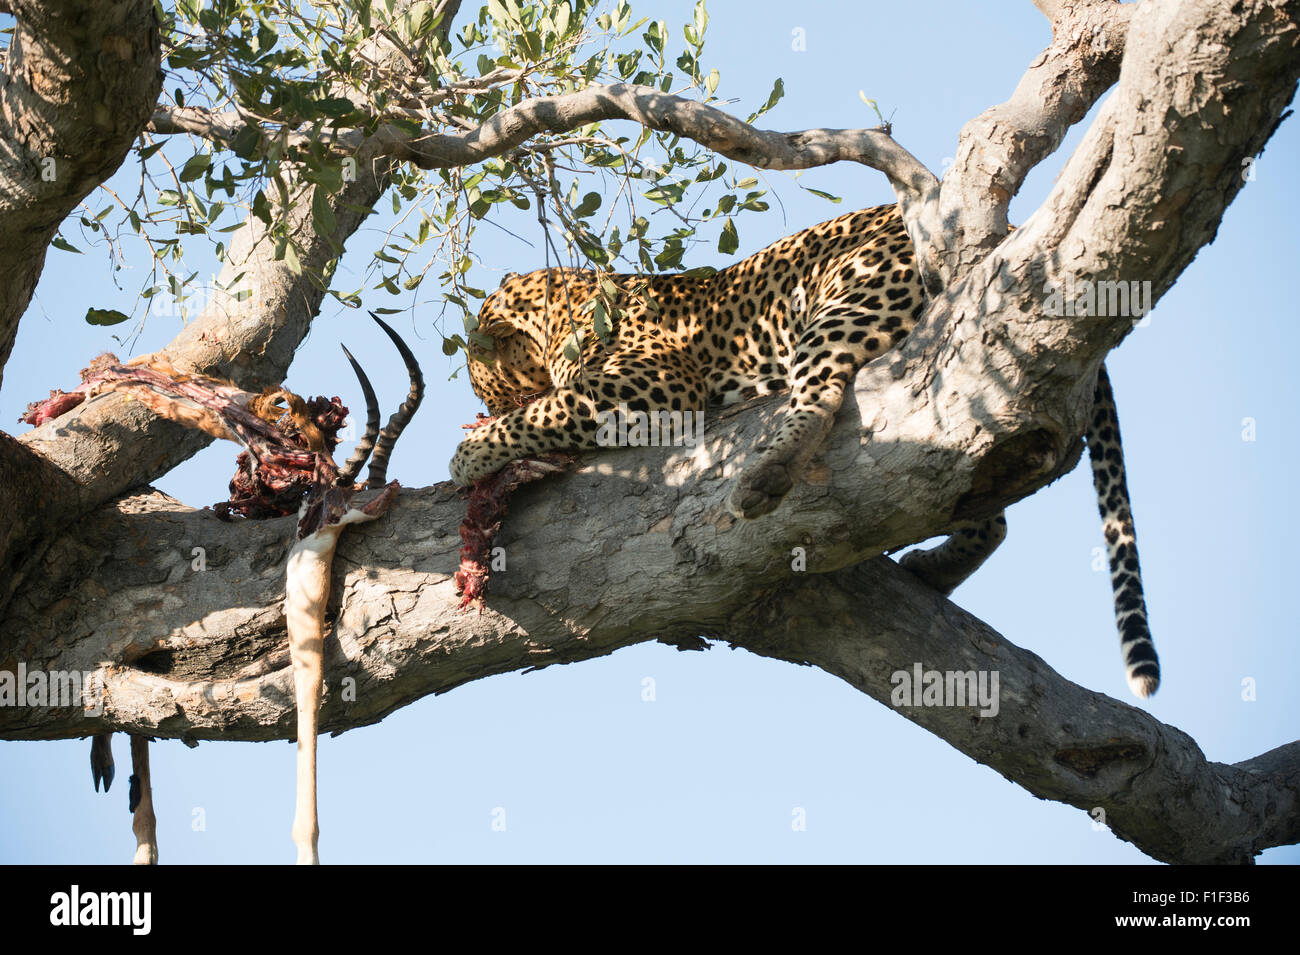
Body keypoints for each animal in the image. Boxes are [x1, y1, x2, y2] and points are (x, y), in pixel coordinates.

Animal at [450, 202, 1160, 698]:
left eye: (482, 382)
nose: (480, 405)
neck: (556, 308)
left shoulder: (651, 382)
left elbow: (549, 409)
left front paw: (471, 453)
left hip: (847, 298)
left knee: (821, 394)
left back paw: (767, 477)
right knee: (984, 498)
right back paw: (935, 568)